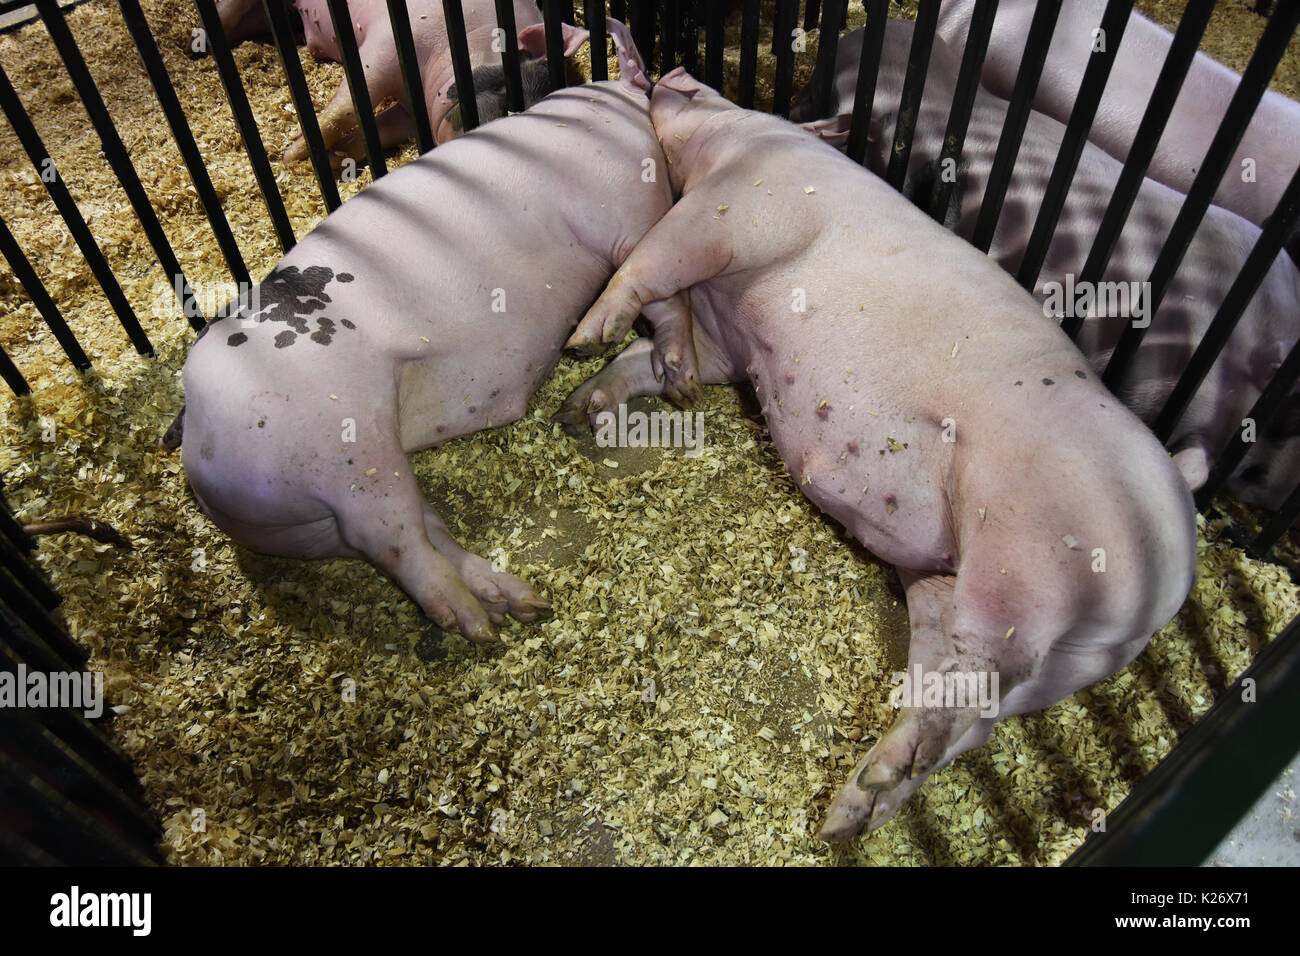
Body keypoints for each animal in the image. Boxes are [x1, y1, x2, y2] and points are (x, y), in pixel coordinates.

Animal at [172, 20, 696, 642]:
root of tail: (192, 432)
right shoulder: (625, 220)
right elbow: (659, 289)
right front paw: (670, 376)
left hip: (330, 505)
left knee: (424, 531)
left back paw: (520, 604)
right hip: (342, 452)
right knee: (399, 544)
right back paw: (478, 625)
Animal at [210, 0, 588, 168]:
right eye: (509, 104)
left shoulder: (410, 114)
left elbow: (374, 134)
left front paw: (332, 160)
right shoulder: (385, 45)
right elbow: (348, 108)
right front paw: (291, 156)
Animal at [558, 68, 1197, 840]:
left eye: (715, 94)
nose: (676, 74)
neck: (744, 146)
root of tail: (1176, 557)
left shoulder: (731, 215)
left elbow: (649, 258)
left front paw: (584, 337)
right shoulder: (725, 342)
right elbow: (655, 357)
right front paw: (582, 406)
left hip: (1033, 559)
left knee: (989, 670)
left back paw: (869, 792)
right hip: (1001, 622)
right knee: (972, 712)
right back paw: (854, 809)